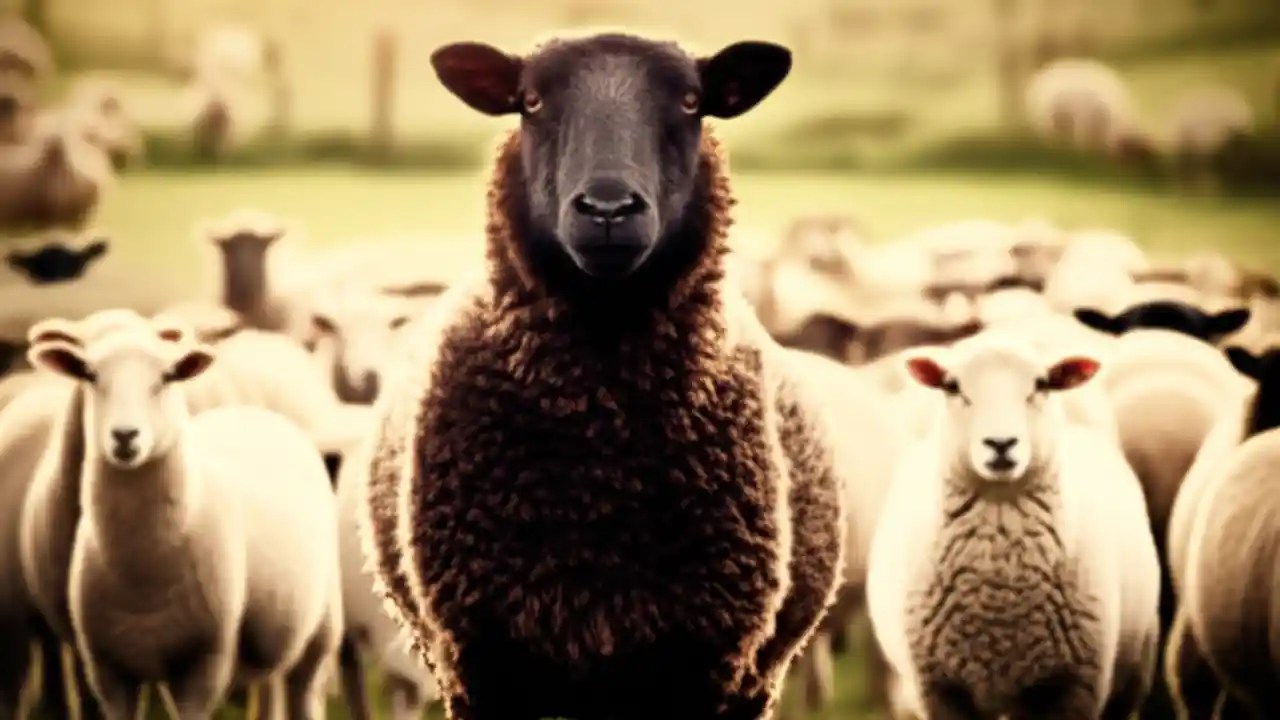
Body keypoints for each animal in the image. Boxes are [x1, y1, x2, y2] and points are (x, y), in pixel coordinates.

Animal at [28, 326, 343, 718]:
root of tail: (255, 413)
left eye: (166, 378)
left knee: (304, 690)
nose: (125, 435)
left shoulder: (203, 663)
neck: (141, 575)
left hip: (323, 627)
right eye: (90, 375)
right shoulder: (107, 671)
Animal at [359, 34, 848, 719]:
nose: (609, 208)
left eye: (692, 102)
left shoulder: (705, 663)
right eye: (530, 101)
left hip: (754, 682)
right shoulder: (480, 662)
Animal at [867, 332, 1160, 719]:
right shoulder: (938, 689)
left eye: (1041, 385)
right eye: (952, 386)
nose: (1001, 443)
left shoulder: (1075, 687)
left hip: (1136, 668)